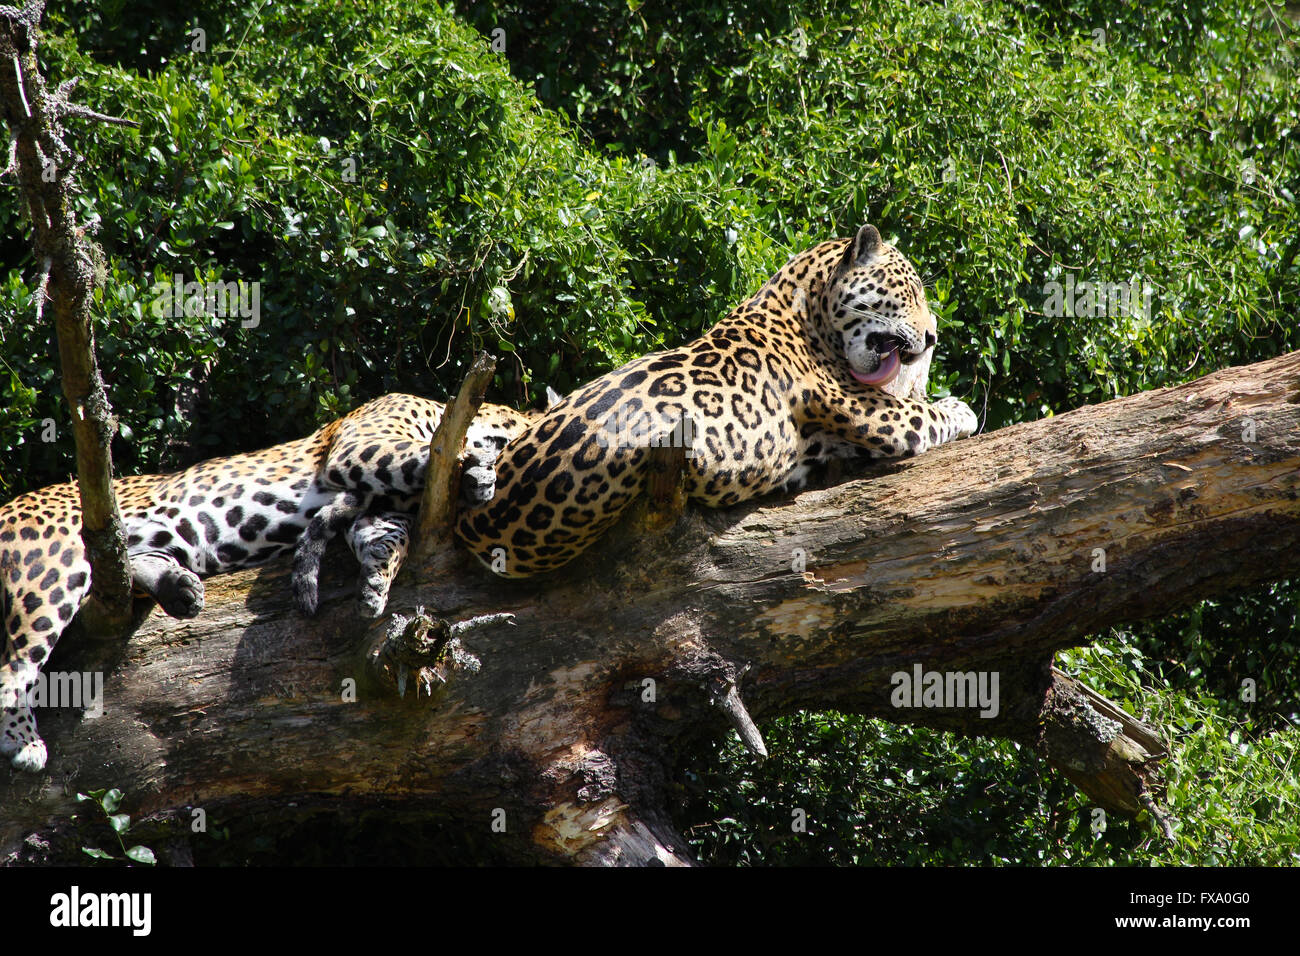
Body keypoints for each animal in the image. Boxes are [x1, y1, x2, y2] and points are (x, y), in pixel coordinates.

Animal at [1, 392, 543, 772]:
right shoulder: (361, 449)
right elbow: (429, 455)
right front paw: (476, 470)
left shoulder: (375, 503)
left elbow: (387, 534)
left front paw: (376, 581)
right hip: (49, 566)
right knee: (15, 665)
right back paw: (22, 741)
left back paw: (180, 587)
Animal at [456, 224, 979, 578]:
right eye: (911, 290)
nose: (932, 336)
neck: (803, 311)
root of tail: (474, 523)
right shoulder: (885, 418)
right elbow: (931, 413)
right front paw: (962, 408)